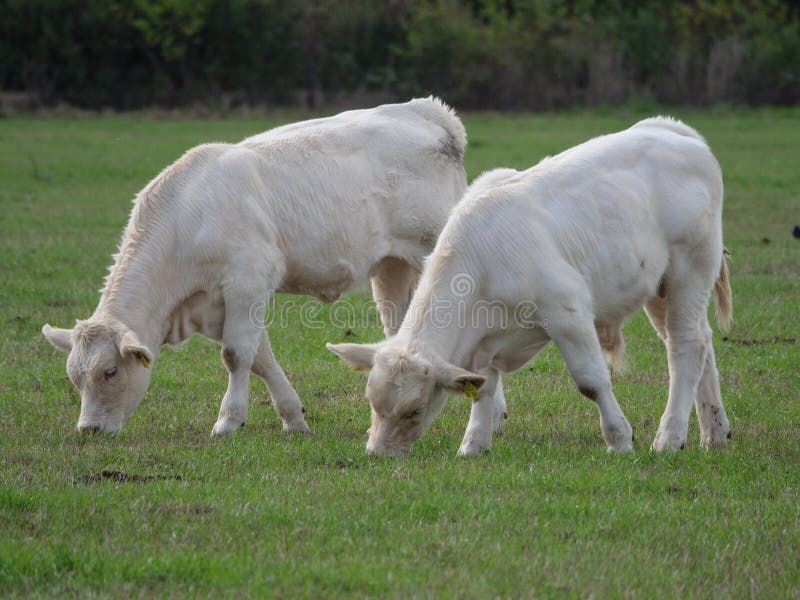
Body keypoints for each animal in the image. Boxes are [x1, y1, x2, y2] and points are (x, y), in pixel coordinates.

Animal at [42, 97, 476, 436]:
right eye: (74, 376)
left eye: (110, 372)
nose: (88, 429)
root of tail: (426, 111)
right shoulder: (215, 304)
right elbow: (261, 358)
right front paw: (293, 417)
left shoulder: (247, 281)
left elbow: (236, 355)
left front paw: (228, 421)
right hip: (391, 267)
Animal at [328, 117, 733, 457]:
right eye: (372, 402)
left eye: (414, 410)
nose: (377, 453)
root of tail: (675, 131)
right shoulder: (484, 342)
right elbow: (483, 388)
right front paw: (472, 446)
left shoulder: (567, 311)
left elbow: (592, 381)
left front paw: (619, 439)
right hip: (660, 288)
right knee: (701, 341)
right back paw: (714, 433)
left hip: (691, 268)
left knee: (685, 346)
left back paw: (669, 438)